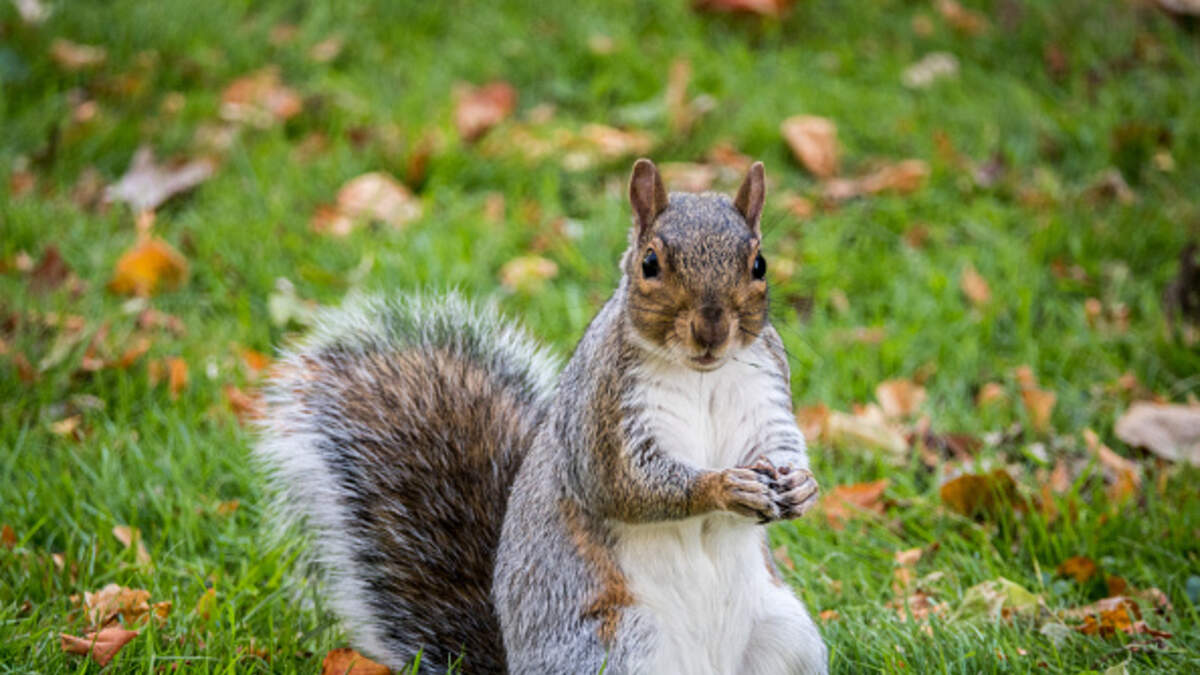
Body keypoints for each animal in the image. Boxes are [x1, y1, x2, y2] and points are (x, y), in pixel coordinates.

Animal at [257, 159, 828, 674]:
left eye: (759, 264)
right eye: (650, 263)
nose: (711, 330)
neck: (701, 375)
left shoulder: (765, 392)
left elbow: (780, 443)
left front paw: (802, 487)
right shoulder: (602, 413)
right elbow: (622, 484)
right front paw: (724, 486)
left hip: (787, 635)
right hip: (620, 644)